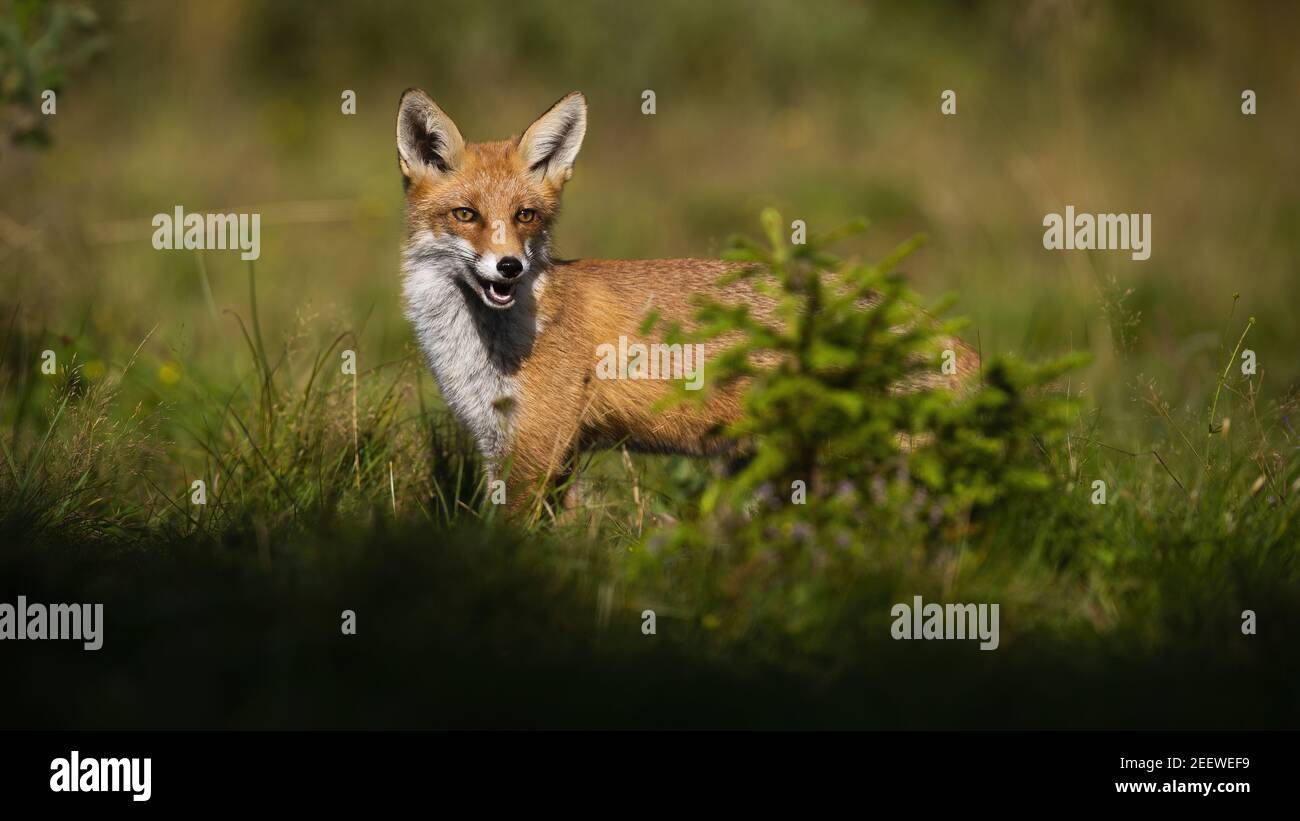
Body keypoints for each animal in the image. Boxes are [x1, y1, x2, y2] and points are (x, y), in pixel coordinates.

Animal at [396, 89, 976, 517]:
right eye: (466, 215)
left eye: (525, 216)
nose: (509, 268)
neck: (488, 346)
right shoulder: (513, 449)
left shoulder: (538, 449)